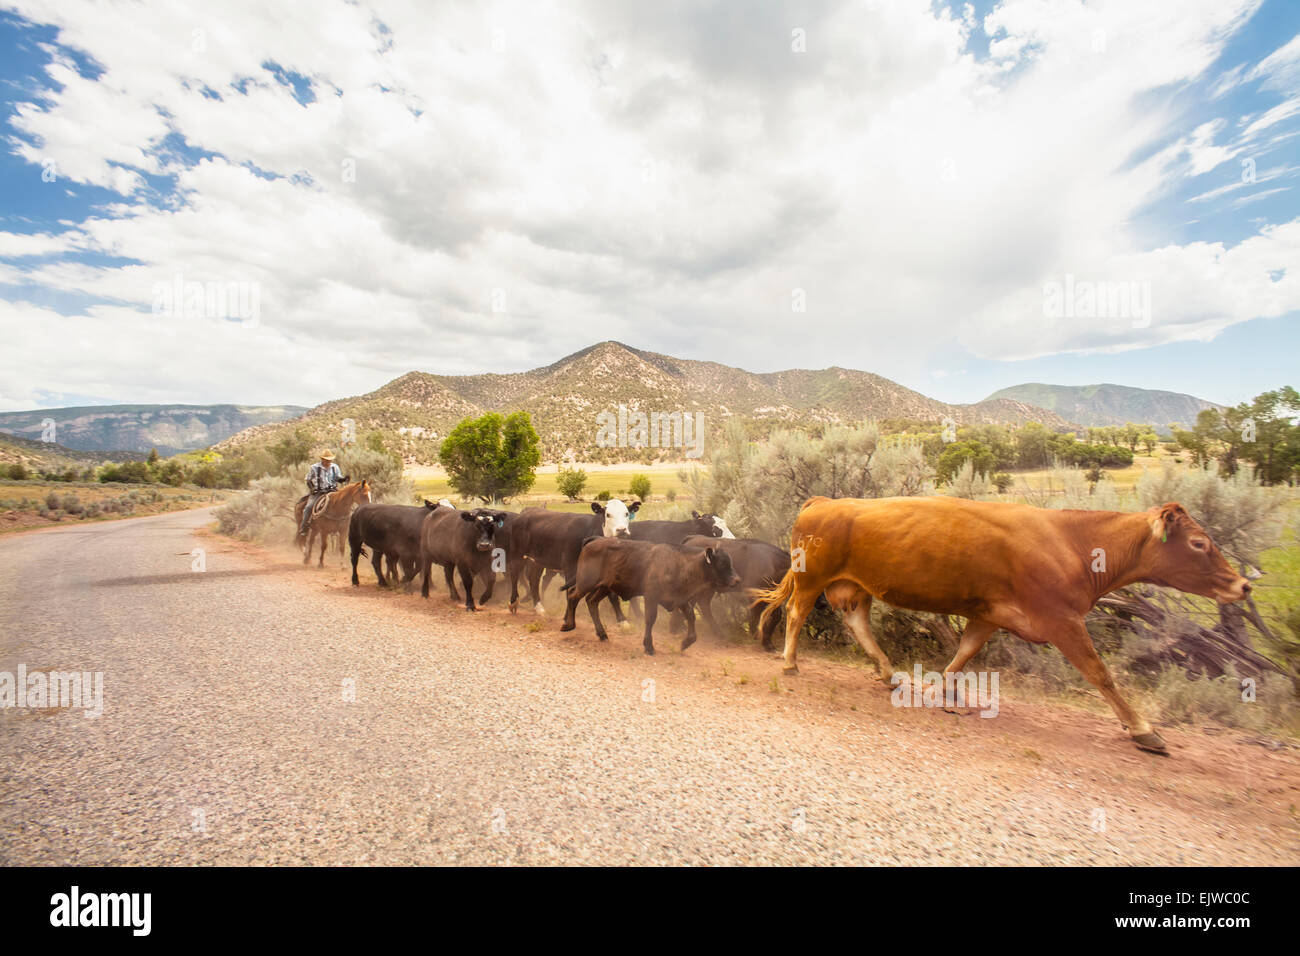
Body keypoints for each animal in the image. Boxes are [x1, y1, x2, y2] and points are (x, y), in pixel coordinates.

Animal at [505, 500, 640, 614]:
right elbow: (570, 592)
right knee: (515, 574)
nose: (622, 530)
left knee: (534, 579)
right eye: (608, 514)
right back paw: (513, 603)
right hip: (518, 554)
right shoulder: (570, 566)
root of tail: (523, 514)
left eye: (627, 513)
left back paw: (539, 607)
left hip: (537, 560)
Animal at [561, 538, 741, 655]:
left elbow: (691, 616)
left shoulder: (680, 599)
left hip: (604, 587)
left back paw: (602, 634)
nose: (737, 580)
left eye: (730, 562)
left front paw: (686, 642)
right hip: (586, 583)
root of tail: (593, 541)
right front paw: (649, 646)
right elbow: (650, 619)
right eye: (722, 563)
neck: (680, 564)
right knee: (573, 595)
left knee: (591, 601)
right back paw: (568, 625)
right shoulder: (651, 597)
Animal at [757, 496, 1253, 753]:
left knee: (858, 624)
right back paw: (790, 663)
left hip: (854, 587)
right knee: (797, 613)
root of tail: (824, 501)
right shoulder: (1063, 620)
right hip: (812, 578)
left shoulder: (987, 616)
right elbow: (1101, 673)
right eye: (1199, 543)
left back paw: (888, 673)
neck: (1075, 542)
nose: (1244, 585)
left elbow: (964, 652)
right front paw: (1144, 729)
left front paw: (942, 689)